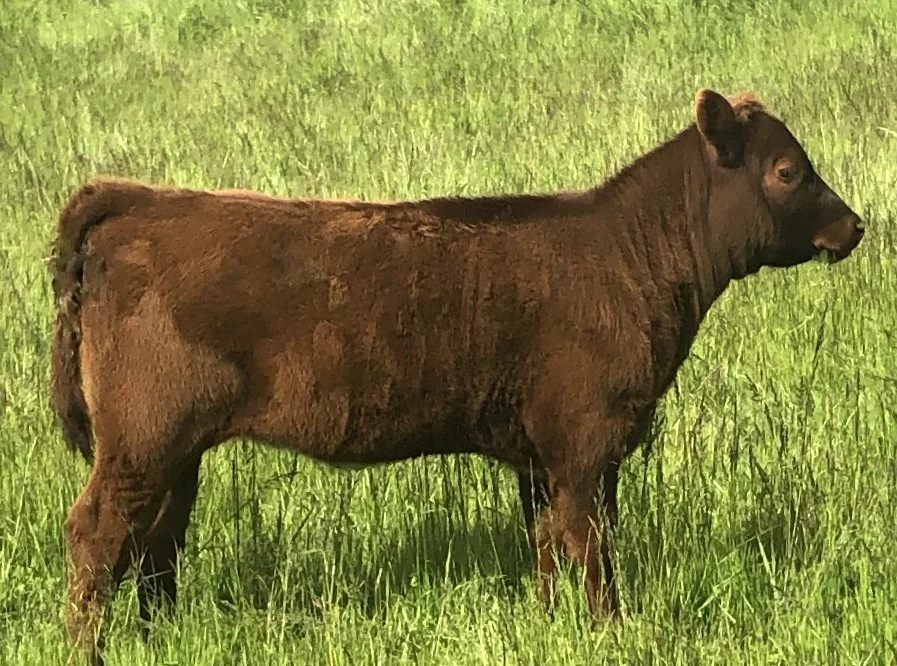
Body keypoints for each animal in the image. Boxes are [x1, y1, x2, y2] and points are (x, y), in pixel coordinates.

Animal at [50, 89, 864, 664]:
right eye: (787, 170)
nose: (854, 225)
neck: (629, 256)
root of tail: (140, 199)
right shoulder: (587, 445)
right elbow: (593, 547)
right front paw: (610, 632)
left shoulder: (541, 457)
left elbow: (547, 545)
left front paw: (551, 626)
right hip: (142, 441)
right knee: (99, 532)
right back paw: (90, 649)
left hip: (172, 450)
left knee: (156, 541)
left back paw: (158, 638)